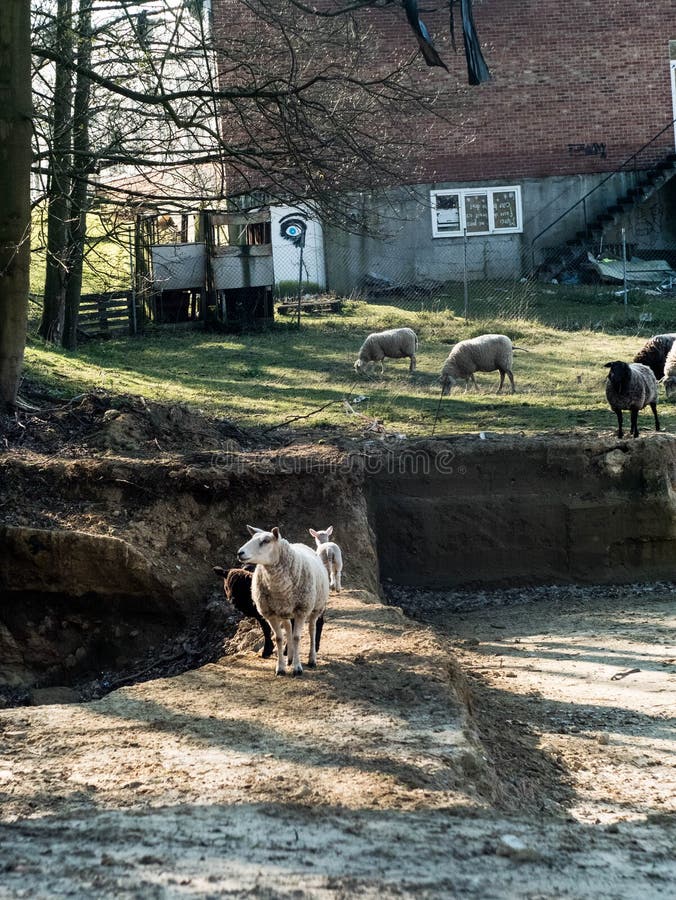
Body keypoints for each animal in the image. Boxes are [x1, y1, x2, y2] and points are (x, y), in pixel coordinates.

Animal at [237, 526, 329, 676]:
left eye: (265, 541)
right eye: (251, 538)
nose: (240, 553)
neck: (278, 586)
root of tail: (300, 544)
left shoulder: (301, 610)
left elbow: (297, 637)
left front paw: (297, 668)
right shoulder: (270, 613)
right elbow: (279, 638)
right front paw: (280, 667)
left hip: (315, 607)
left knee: (312, 629)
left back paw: (311, 659)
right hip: (284, 610)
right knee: (288, 628)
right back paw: (290, 658)